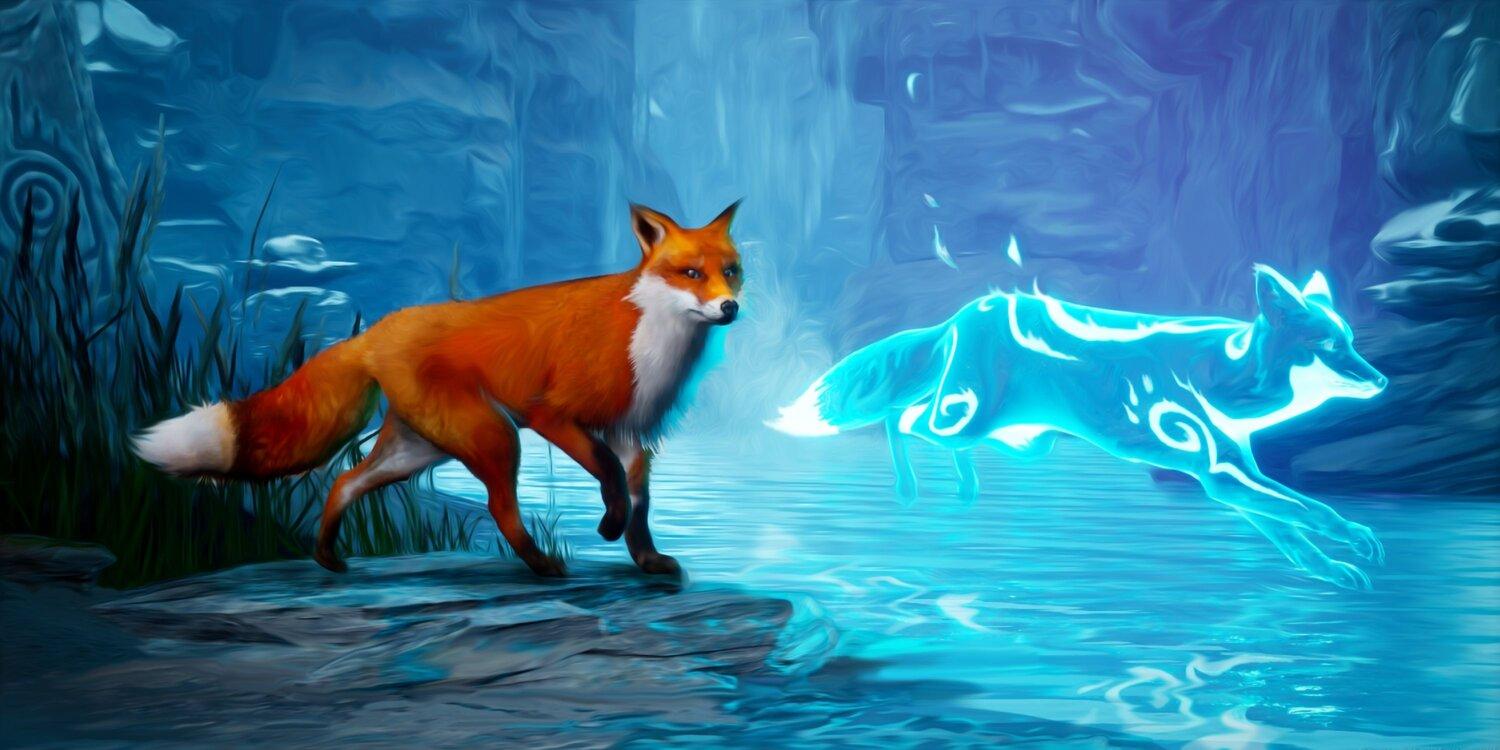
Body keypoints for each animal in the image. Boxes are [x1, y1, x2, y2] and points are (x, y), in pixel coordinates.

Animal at [134, 201, 744, 577]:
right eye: (691, 274)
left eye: (731, 272)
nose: (730, 308)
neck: (648, 335)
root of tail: (377, 330)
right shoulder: (554, 416)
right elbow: (612, 480)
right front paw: (608, 526)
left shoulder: (630, 434)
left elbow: (641, 503)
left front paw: (647, 560)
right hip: (495, 436)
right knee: (499, 507)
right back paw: (541, 567)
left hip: (419, 448)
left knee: (344, 484)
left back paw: (327, 557)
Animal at [769, 265, 1388, 590]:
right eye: (1332, 346)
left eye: (1352, 339)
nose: (1383, 381)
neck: (1226, 375)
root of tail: (960, 313)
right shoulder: (1219, 474)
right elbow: (1312, 510)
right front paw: (1356, 541)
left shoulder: (1230, 479)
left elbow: (1291, 529)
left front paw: (1333, 569)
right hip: (965, 418)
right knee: (904, 421)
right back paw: (912, 489)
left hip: (1014, 441)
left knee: (907, 416)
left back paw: (960, 489)